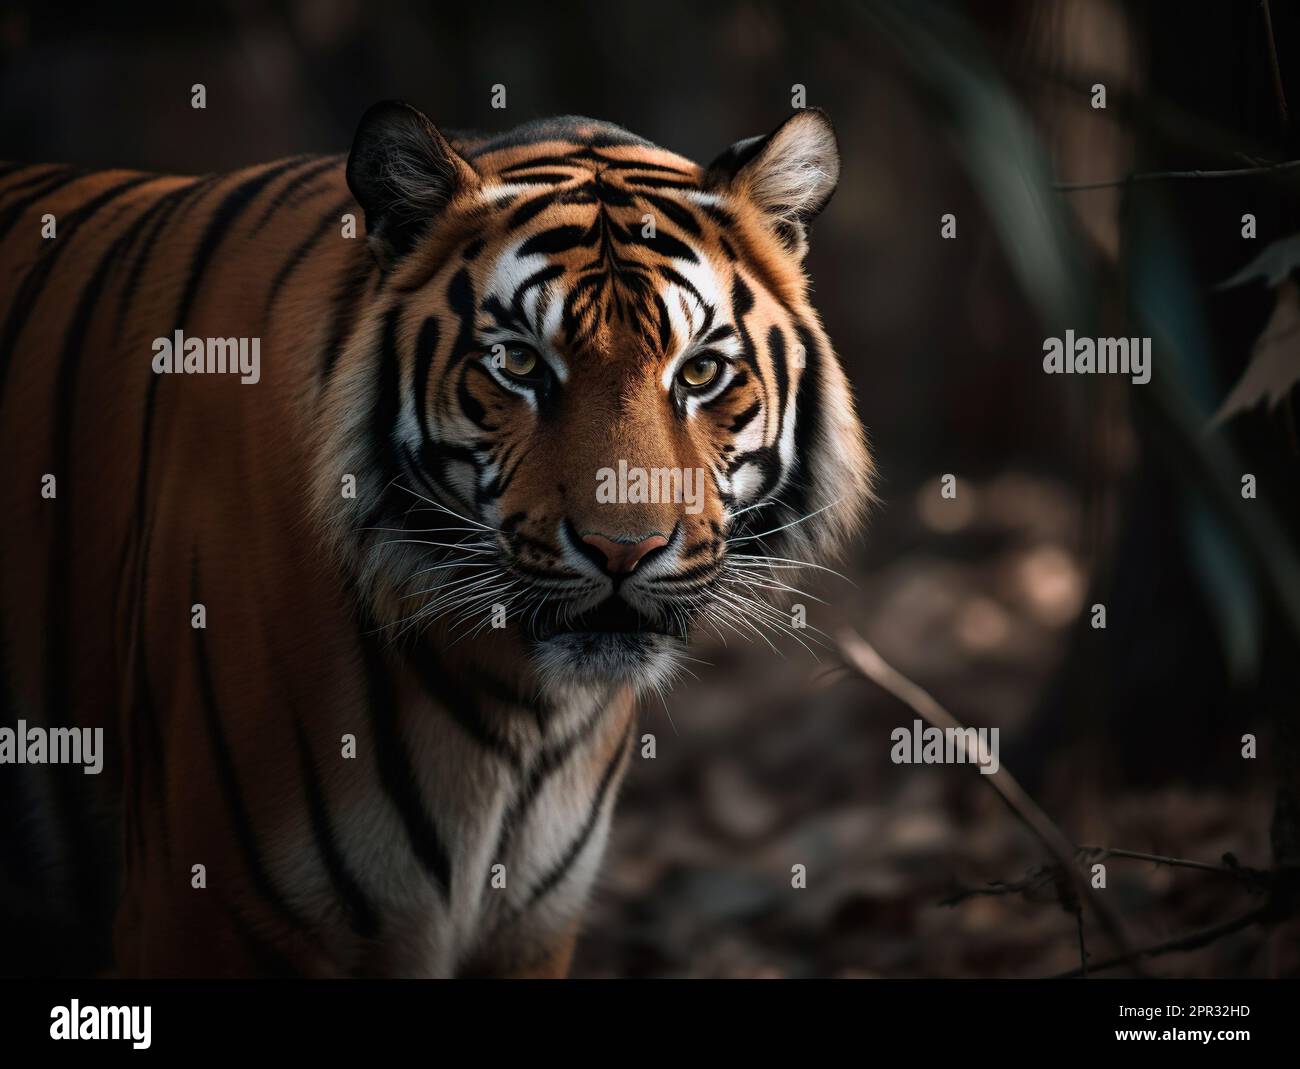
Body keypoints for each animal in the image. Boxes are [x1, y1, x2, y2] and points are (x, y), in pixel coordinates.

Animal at [0, 101, 872, 978]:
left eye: (698, 372)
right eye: (518, 362)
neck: (524, 713)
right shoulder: (201, 913)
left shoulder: (529, 931)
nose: (623, 551)